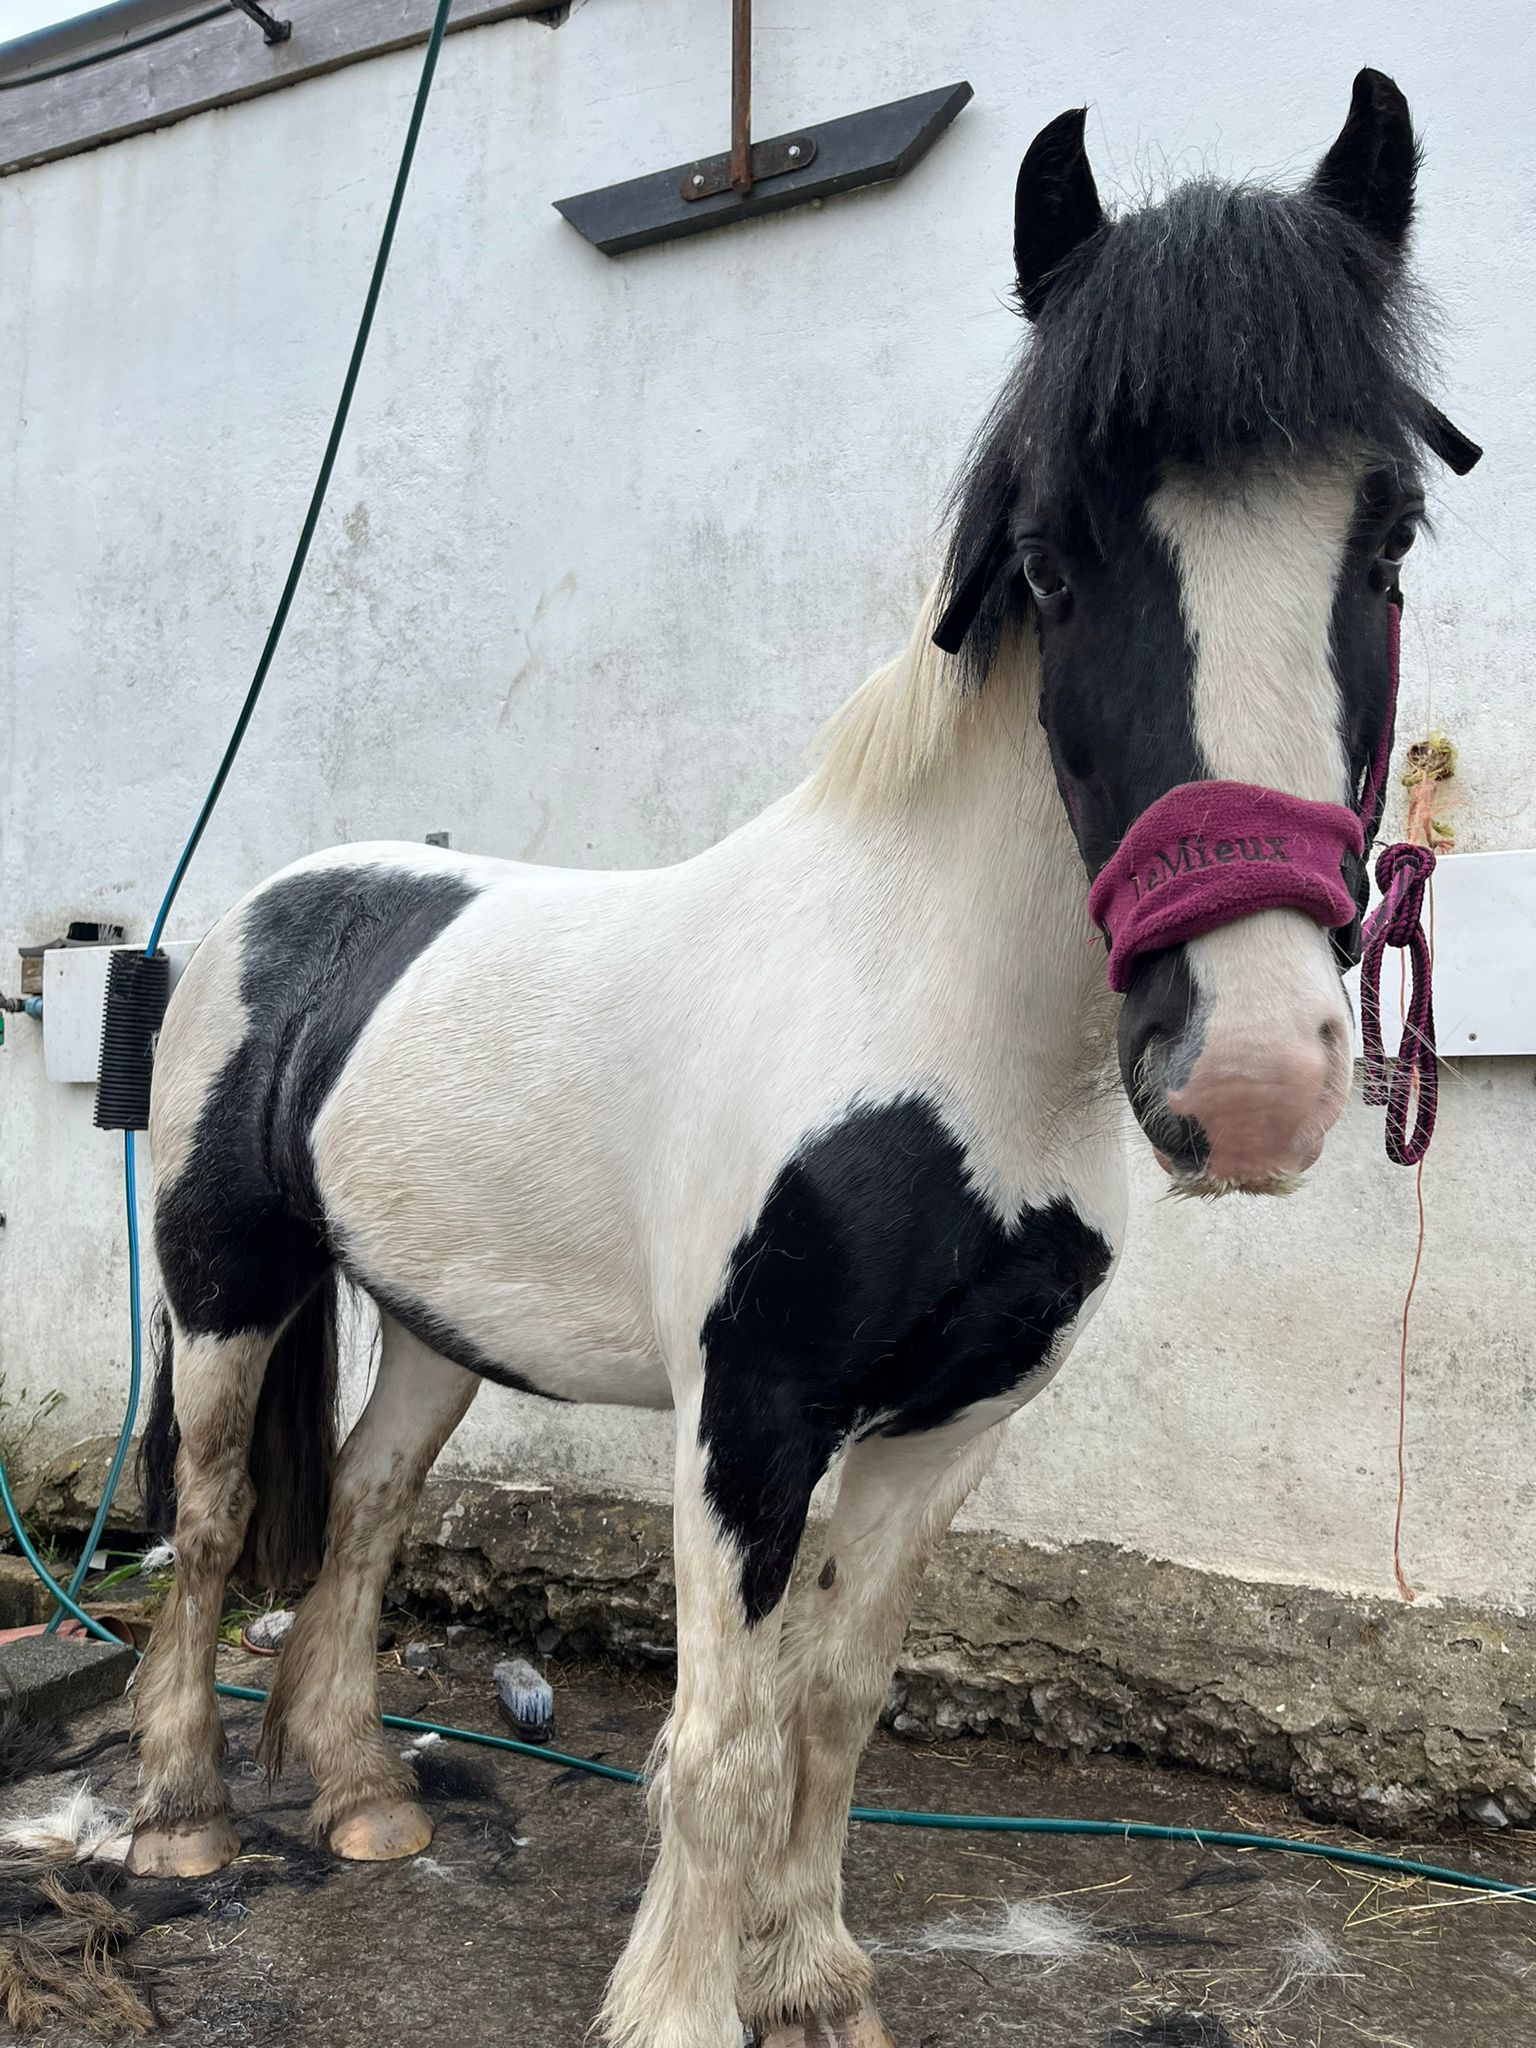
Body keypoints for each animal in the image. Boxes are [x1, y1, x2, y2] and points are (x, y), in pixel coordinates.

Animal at [128, 70, 1478, 2048]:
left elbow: (832, 1705)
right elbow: (721, 1737)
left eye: (1382, 542)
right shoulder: (748, 1417)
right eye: (1053, 559)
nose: (1254, 1078)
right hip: (226, 1280)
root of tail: (280, 906)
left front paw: (817, 1980)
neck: (932, 1020)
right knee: (221, 1520)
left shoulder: (951, 1427)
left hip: (445, 1320)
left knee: (367, 1504)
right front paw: (687, 2006)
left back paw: (365, 1794)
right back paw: (179, 1819)